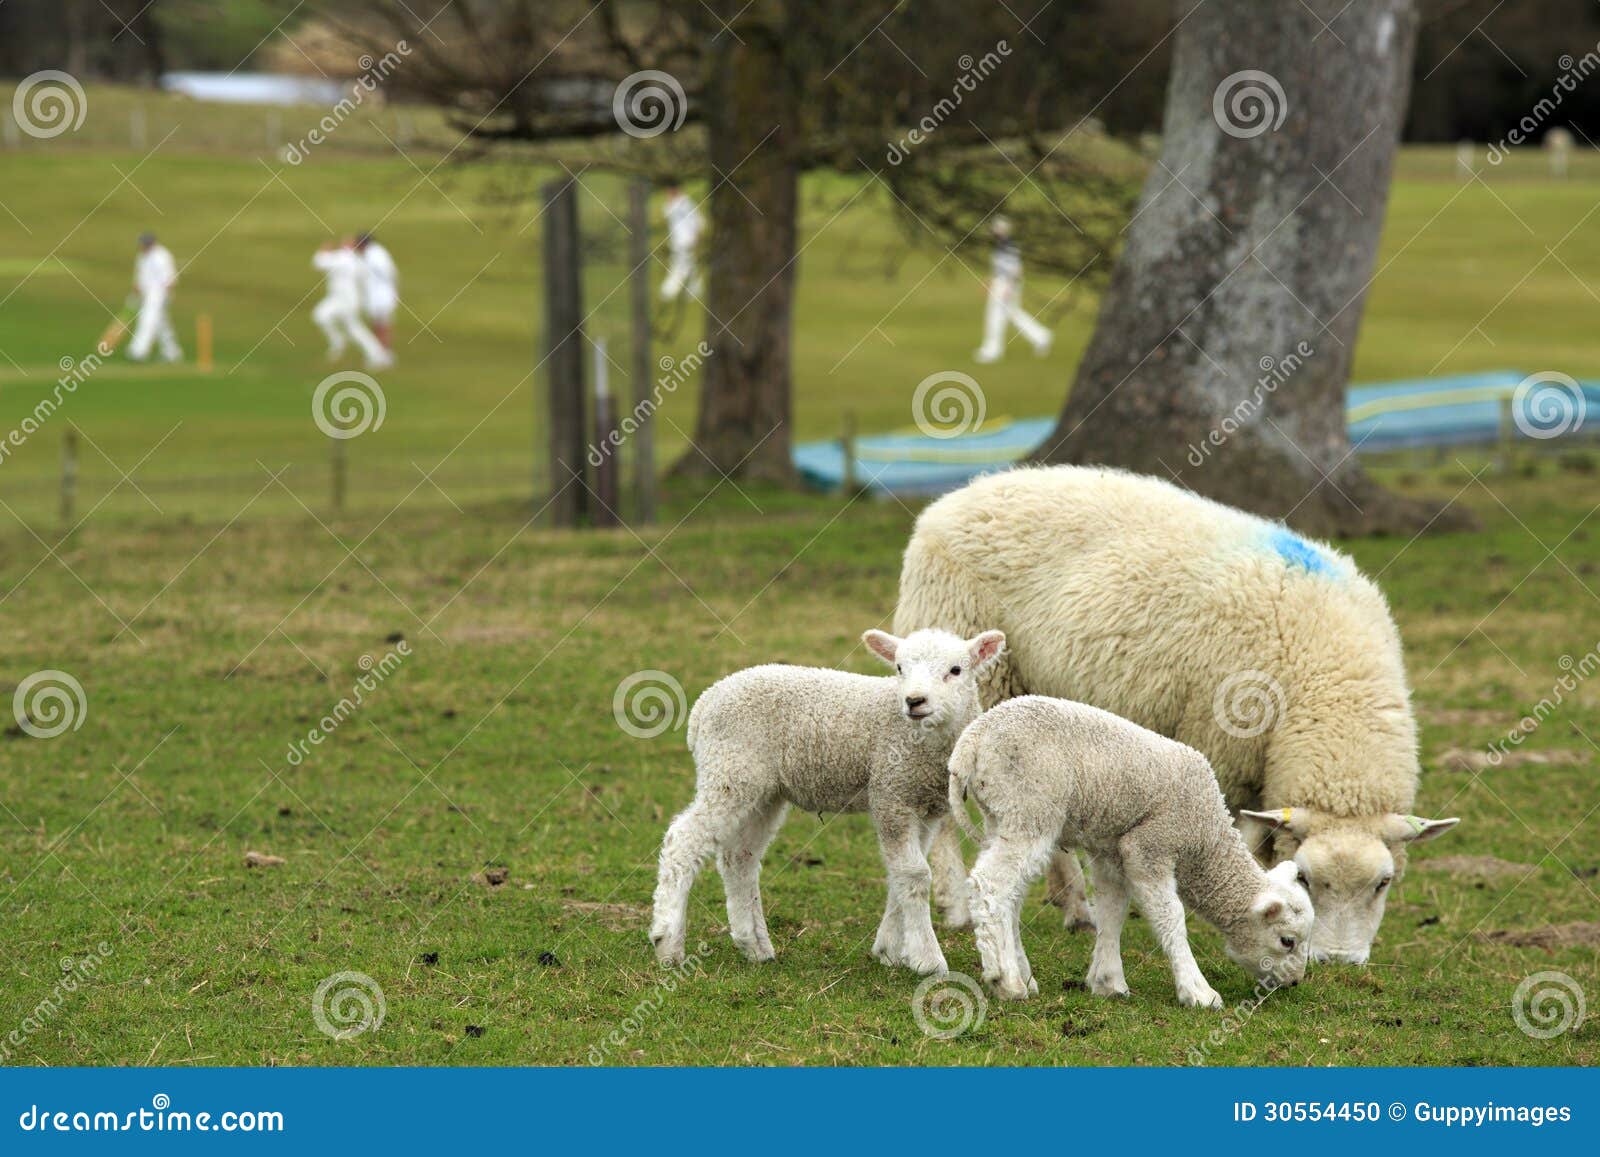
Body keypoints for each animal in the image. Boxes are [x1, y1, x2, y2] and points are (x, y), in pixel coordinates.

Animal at [649, 627, 1006, 975]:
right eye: (899, 668)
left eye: (956, 670)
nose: (914, 701)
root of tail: (704, 703)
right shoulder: (891, 793)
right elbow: (915, 875)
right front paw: (928, 960)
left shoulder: (924, 807)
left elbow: (899, 876)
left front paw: (889, 949)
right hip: (730, 771)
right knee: (683, 840)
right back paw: (668, 943)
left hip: (764, 790)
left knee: (739, 858)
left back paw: (755, 946)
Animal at [895, 465, 1458, 963]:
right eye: (1308, 877)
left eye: (1384, 883)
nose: (1339, 961)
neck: (1327, 680)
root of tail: (958, 495)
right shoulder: (1222, 746)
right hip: (970, 682)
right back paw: (957, 906)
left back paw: (1074, 905)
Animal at [949, 695, 1315, 1007]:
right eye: (1287, 941)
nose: (1295, 982)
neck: (1205, 838)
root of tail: (973, 737)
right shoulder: (1149, 847)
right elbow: (1171, 916)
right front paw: (1197, 990)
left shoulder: (1113, 852)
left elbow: (1112, 910)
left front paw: (1108, 982)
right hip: (1029, 808)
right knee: (990, 884)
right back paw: (1005, 980)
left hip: (1001, 815)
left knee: (1010, 893)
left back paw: (1020, 972)